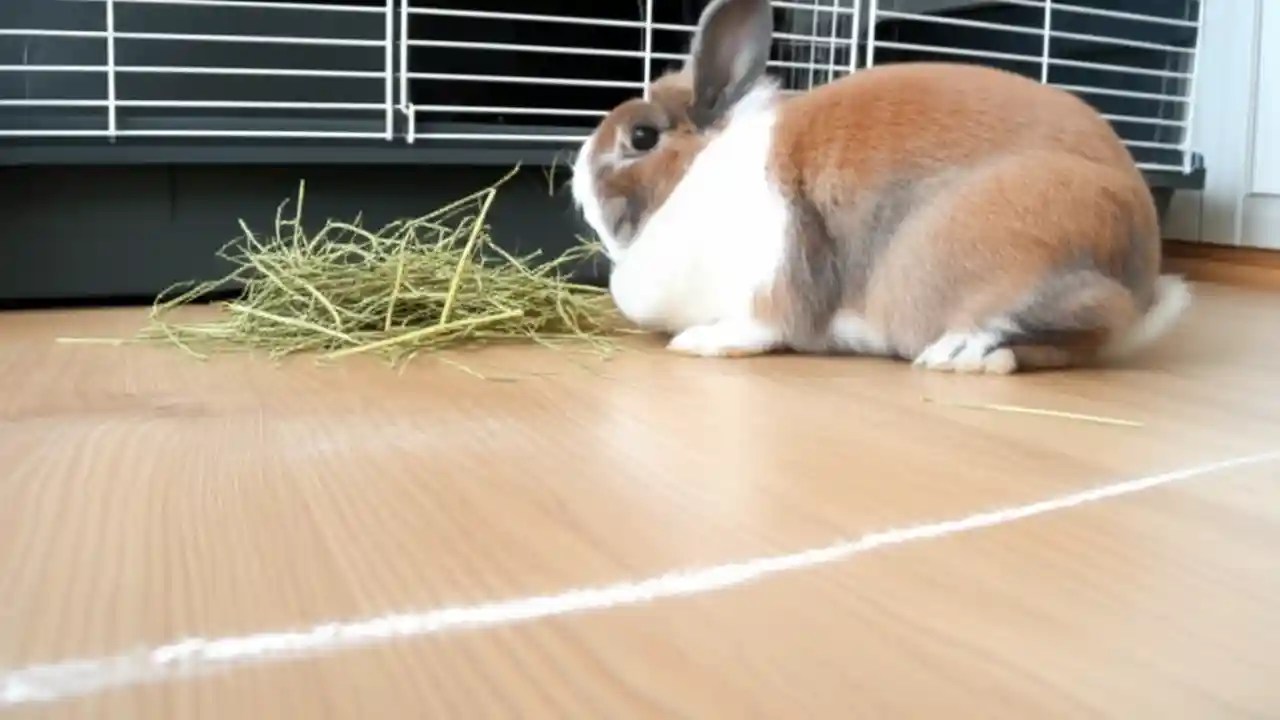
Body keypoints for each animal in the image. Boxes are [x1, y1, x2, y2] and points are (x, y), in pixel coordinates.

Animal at [570, 0, 1191, 373]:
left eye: (641, 136)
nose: (574, 176)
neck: (697, 172)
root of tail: (1140, 274)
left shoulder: (769, 284)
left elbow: (758, 327)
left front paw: (698, 342)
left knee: (1081, 319)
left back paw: (963, 352)